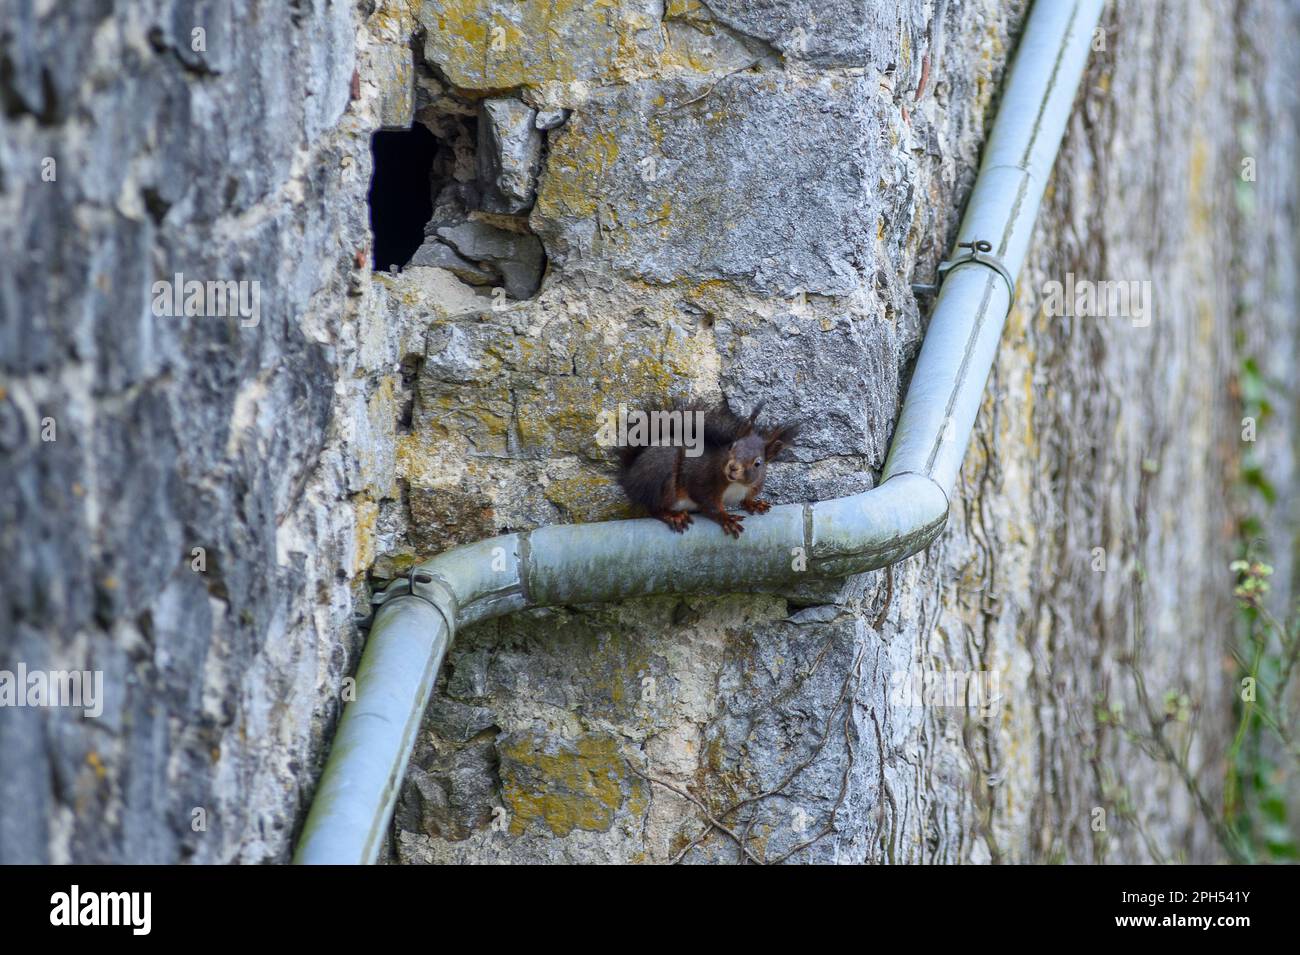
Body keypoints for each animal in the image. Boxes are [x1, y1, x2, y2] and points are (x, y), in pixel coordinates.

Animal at [617, 402, 801, 538]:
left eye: (758, 463)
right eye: (731, 446)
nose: (733, 467)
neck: (736, 484)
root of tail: (629, 476)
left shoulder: (754, 485)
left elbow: (746, 499)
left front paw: (754, 504)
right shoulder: (703, 481)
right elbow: (709, 503)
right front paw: (727, 518)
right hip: (663, 468)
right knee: (654, 507)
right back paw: (673, 516)